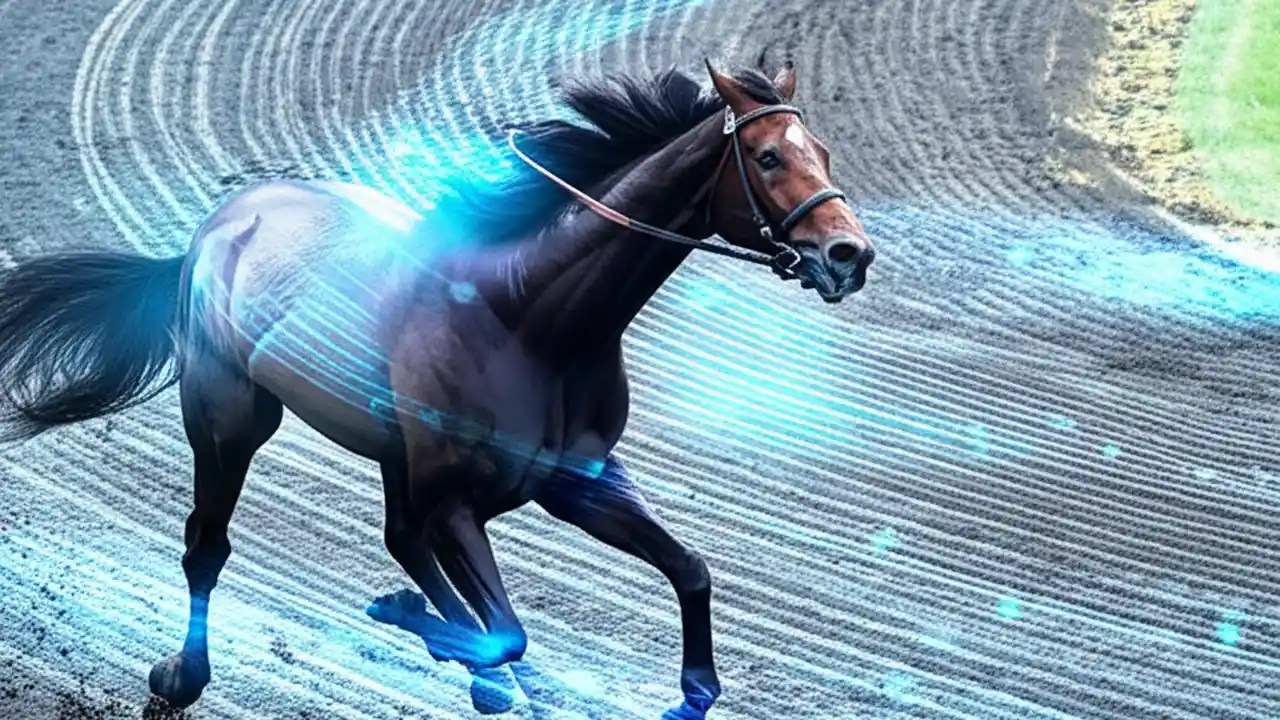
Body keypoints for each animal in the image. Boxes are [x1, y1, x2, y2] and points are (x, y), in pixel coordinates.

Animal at [0, 59, 874, 718]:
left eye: (827, 150)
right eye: (768, 157)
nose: (849, 254)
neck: (531, 313)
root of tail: (215, 227)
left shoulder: (579, 482)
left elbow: (689, 569)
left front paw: (689, 694)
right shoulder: (457, 495)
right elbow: (509, 629)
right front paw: (442, 637)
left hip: (391, 449)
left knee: (401, 536)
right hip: (228, 415)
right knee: (208, 544)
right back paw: (183, 677)